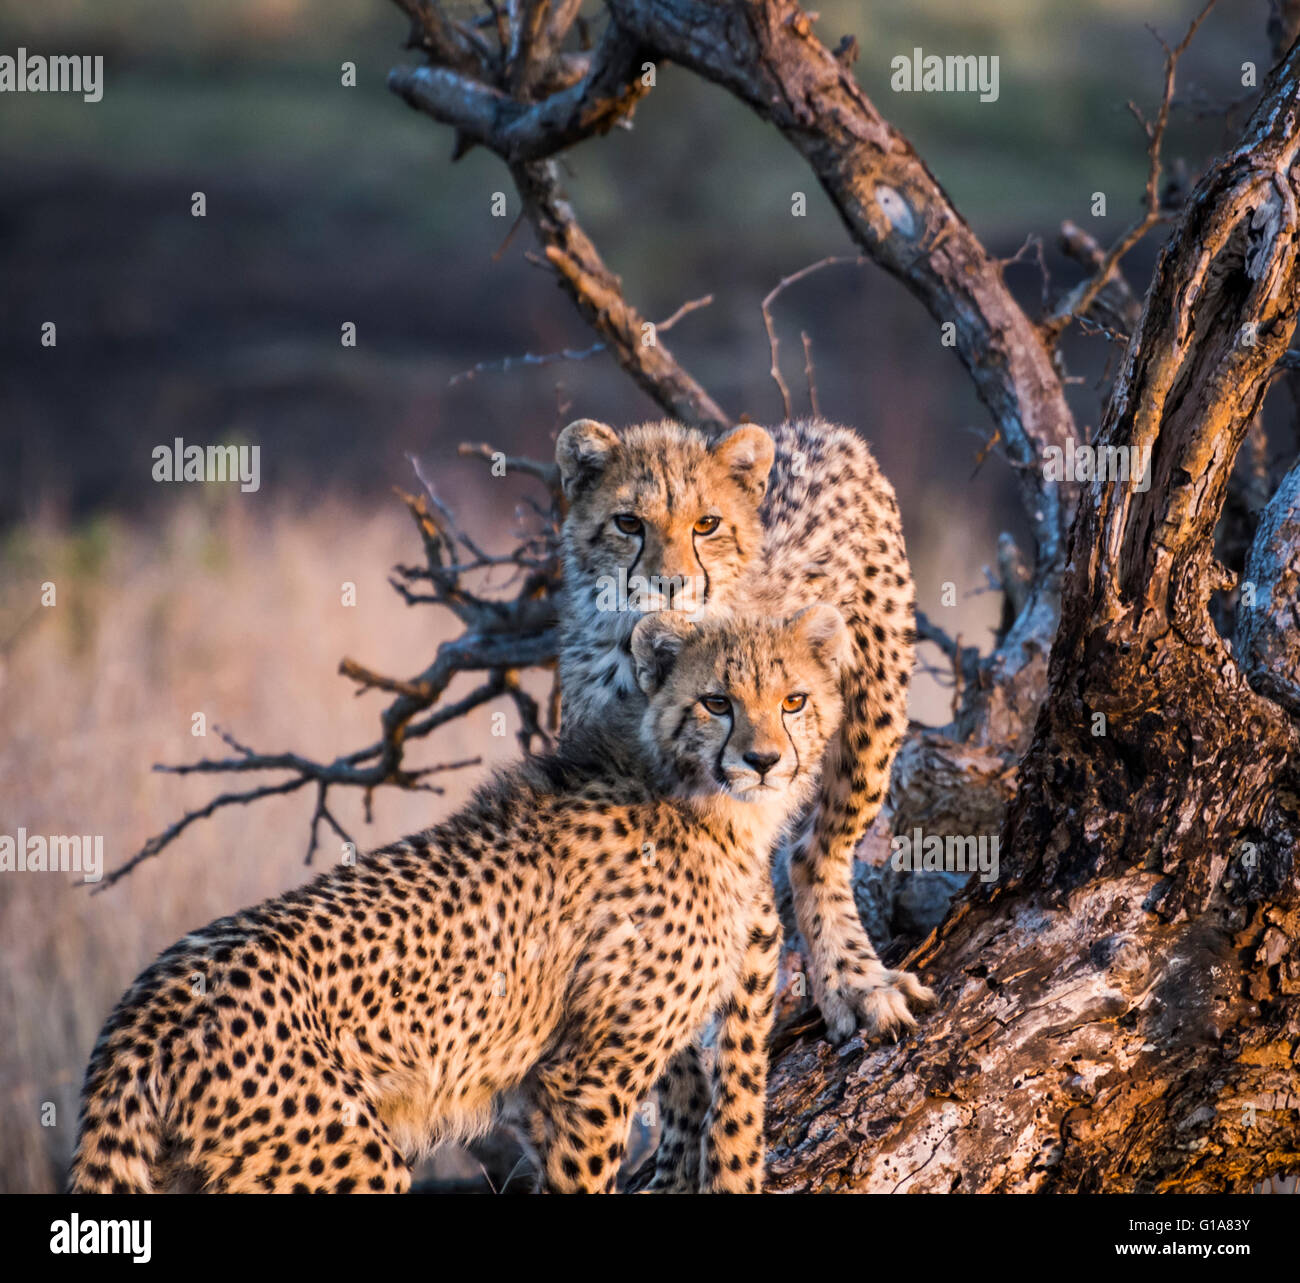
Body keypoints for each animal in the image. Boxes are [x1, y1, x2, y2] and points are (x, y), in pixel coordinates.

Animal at [69, 606, 849, 1194]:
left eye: (794, 700)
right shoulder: (586, 1076)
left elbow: (723, 1120)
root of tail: (150, 1000)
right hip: (343, 1155)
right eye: (717, 702)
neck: (711, 807)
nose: (764, 761)